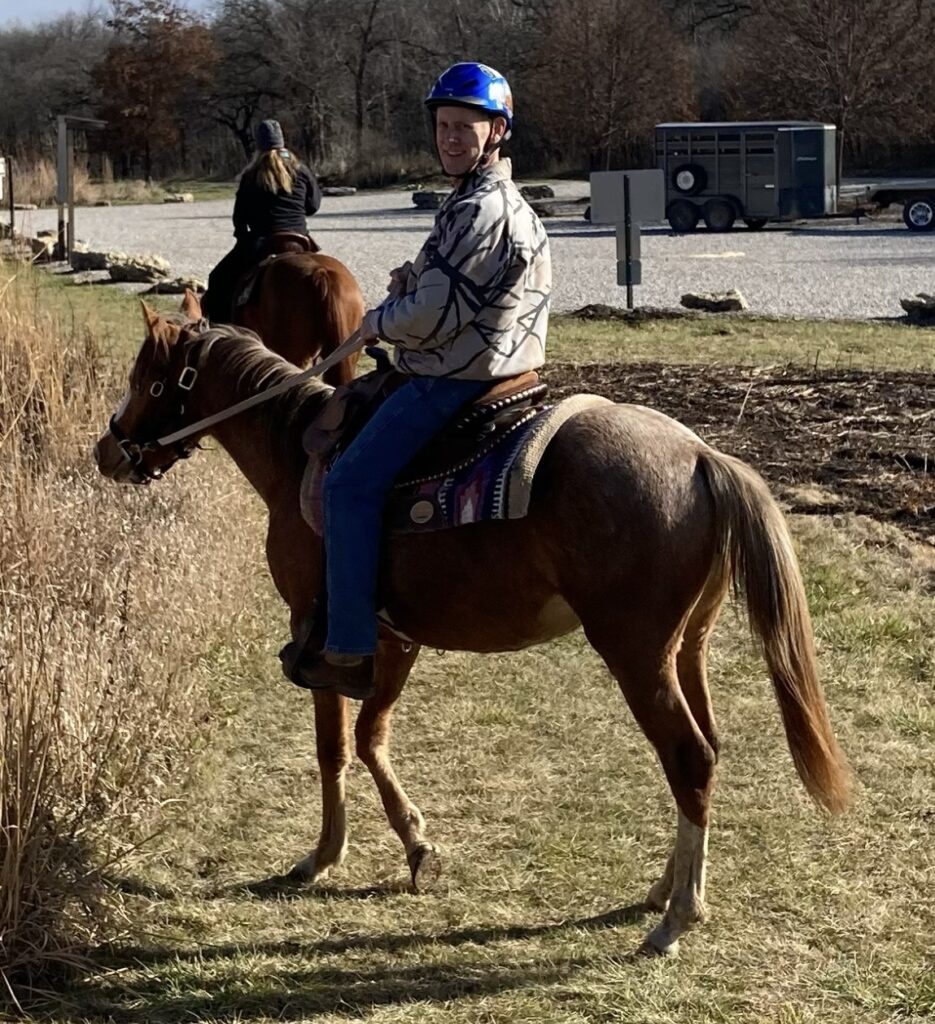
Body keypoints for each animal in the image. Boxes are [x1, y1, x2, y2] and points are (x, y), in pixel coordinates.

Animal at [94, 309, 850, 956]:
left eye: (144, 377)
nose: (108, 450)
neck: (296, 453)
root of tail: (698, 456)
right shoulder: (394, 642)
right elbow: (371, 737)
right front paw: (410, 847)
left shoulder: (323, 631)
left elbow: (335, 747)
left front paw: (330, 855)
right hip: (685, 648)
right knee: (706, 751)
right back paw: (664, 888)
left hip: (636, 653)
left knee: (687, 757)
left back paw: (676, 917)